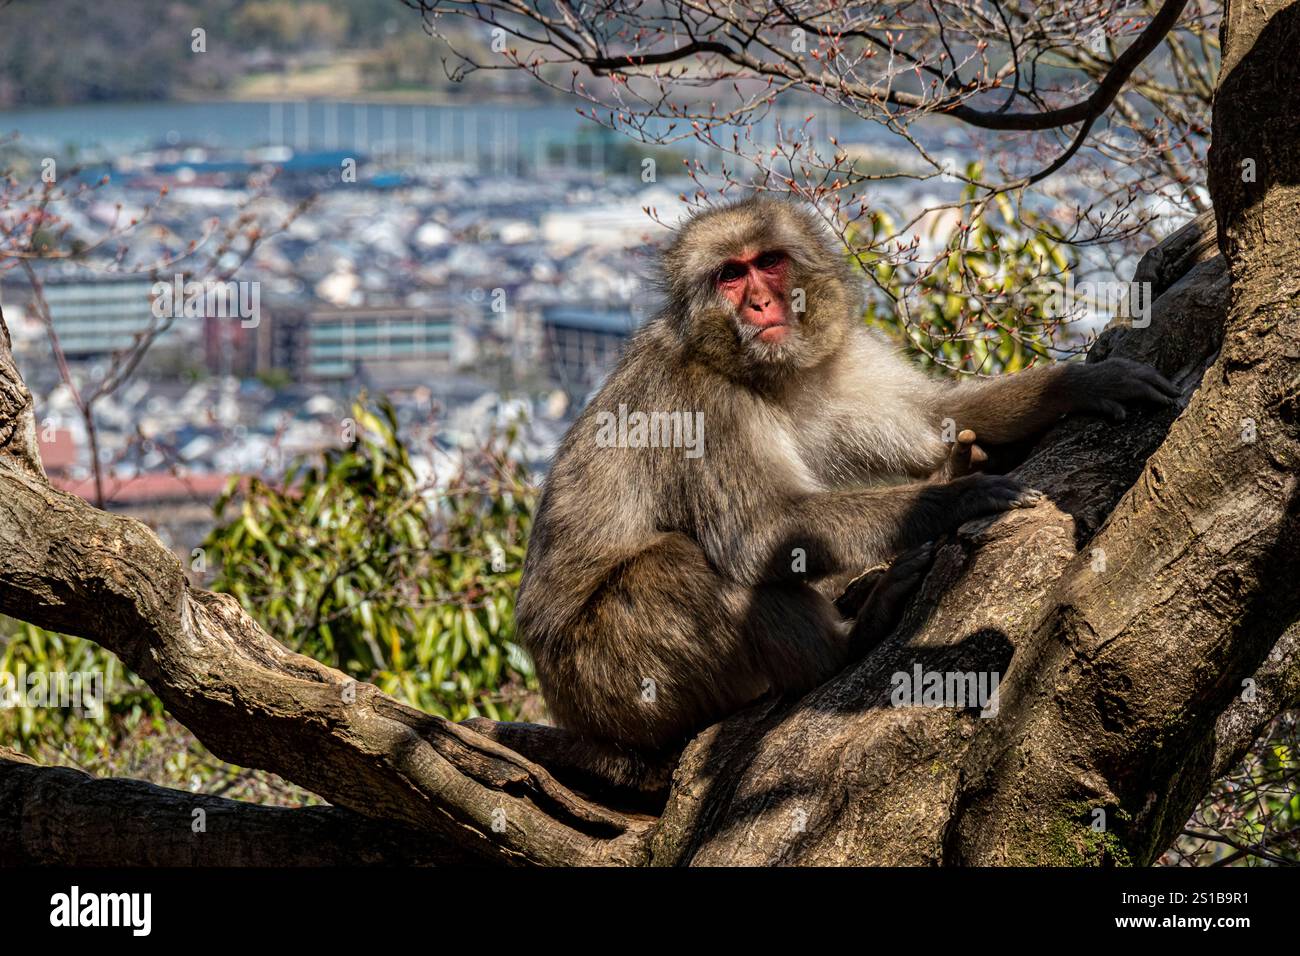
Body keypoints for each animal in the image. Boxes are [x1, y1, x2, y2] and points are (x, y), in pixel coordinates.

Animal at [489, 195, 1178, 794]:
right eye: (730, 276)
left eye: (769, 261)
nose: (760, 302)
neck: (762, 374)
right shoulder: (700, 405)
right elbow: (761, 532)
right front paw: (959, 499)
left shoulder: (838, 360)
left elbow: (937, 419)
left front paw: (1080, 384)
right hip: (610, 682)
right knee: (676, 565)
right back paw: (844, 645)